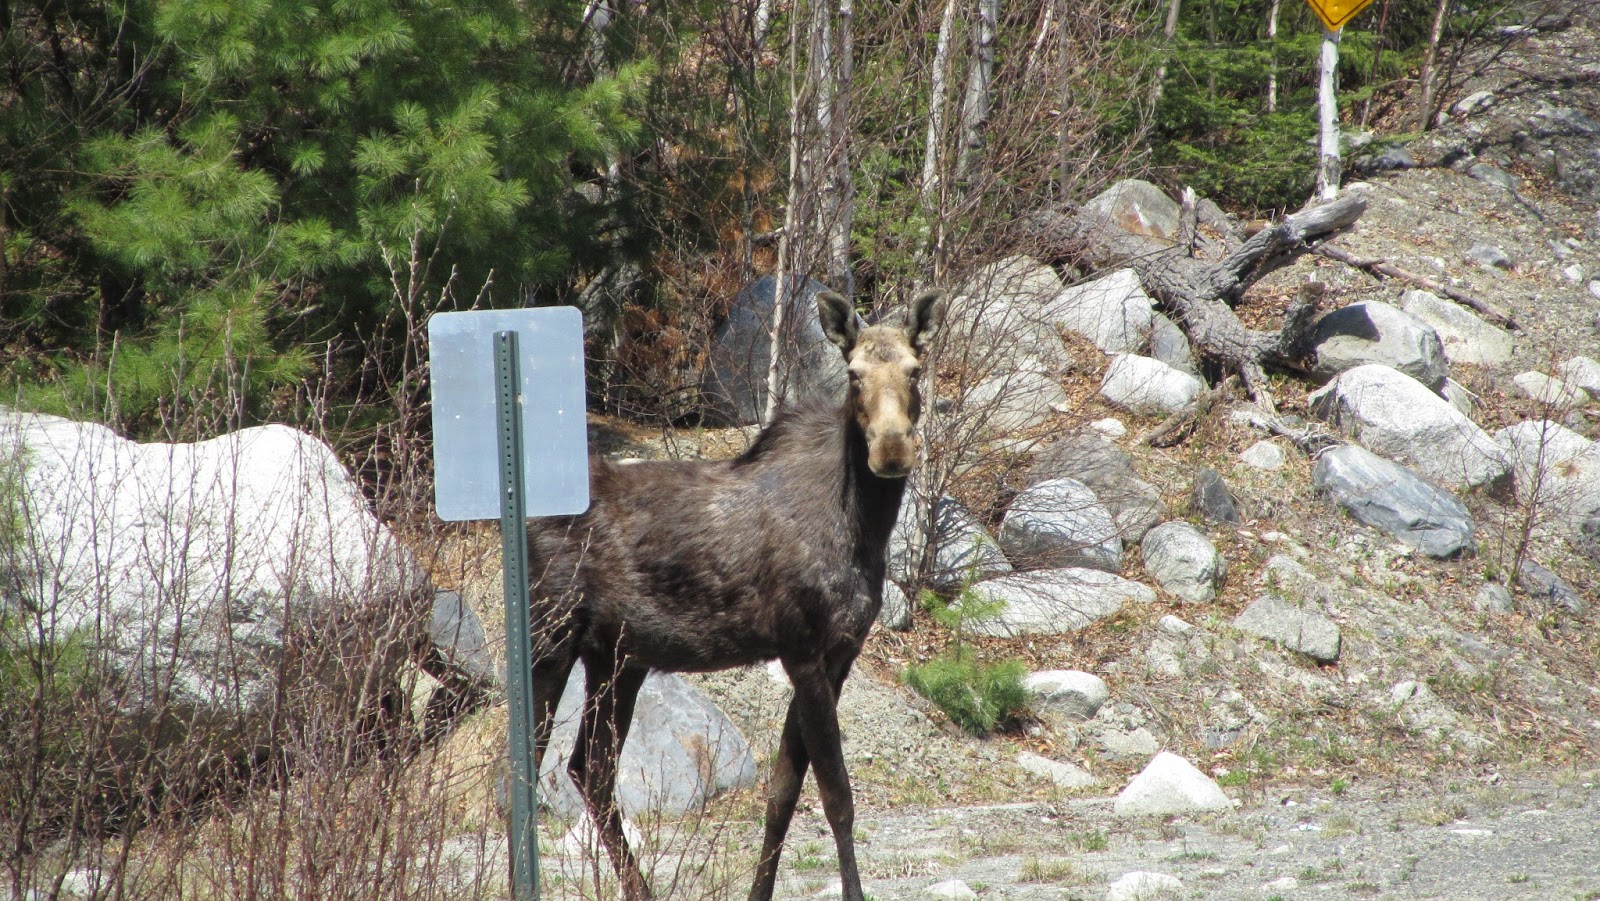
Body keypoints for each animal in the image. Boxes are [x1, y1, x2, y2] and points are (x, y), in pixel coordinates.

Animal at [524, 289, 946, 901]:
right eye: (853, 373)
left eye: (915, 370)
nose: (891, 451)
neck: (864, 526)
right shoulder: (801, 647)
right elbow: (837, 797)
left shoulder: (838, 655)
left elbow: (784, 795)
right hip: (551, 640)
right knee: (526, 765)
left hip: (617, 657)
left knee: (590, 768)